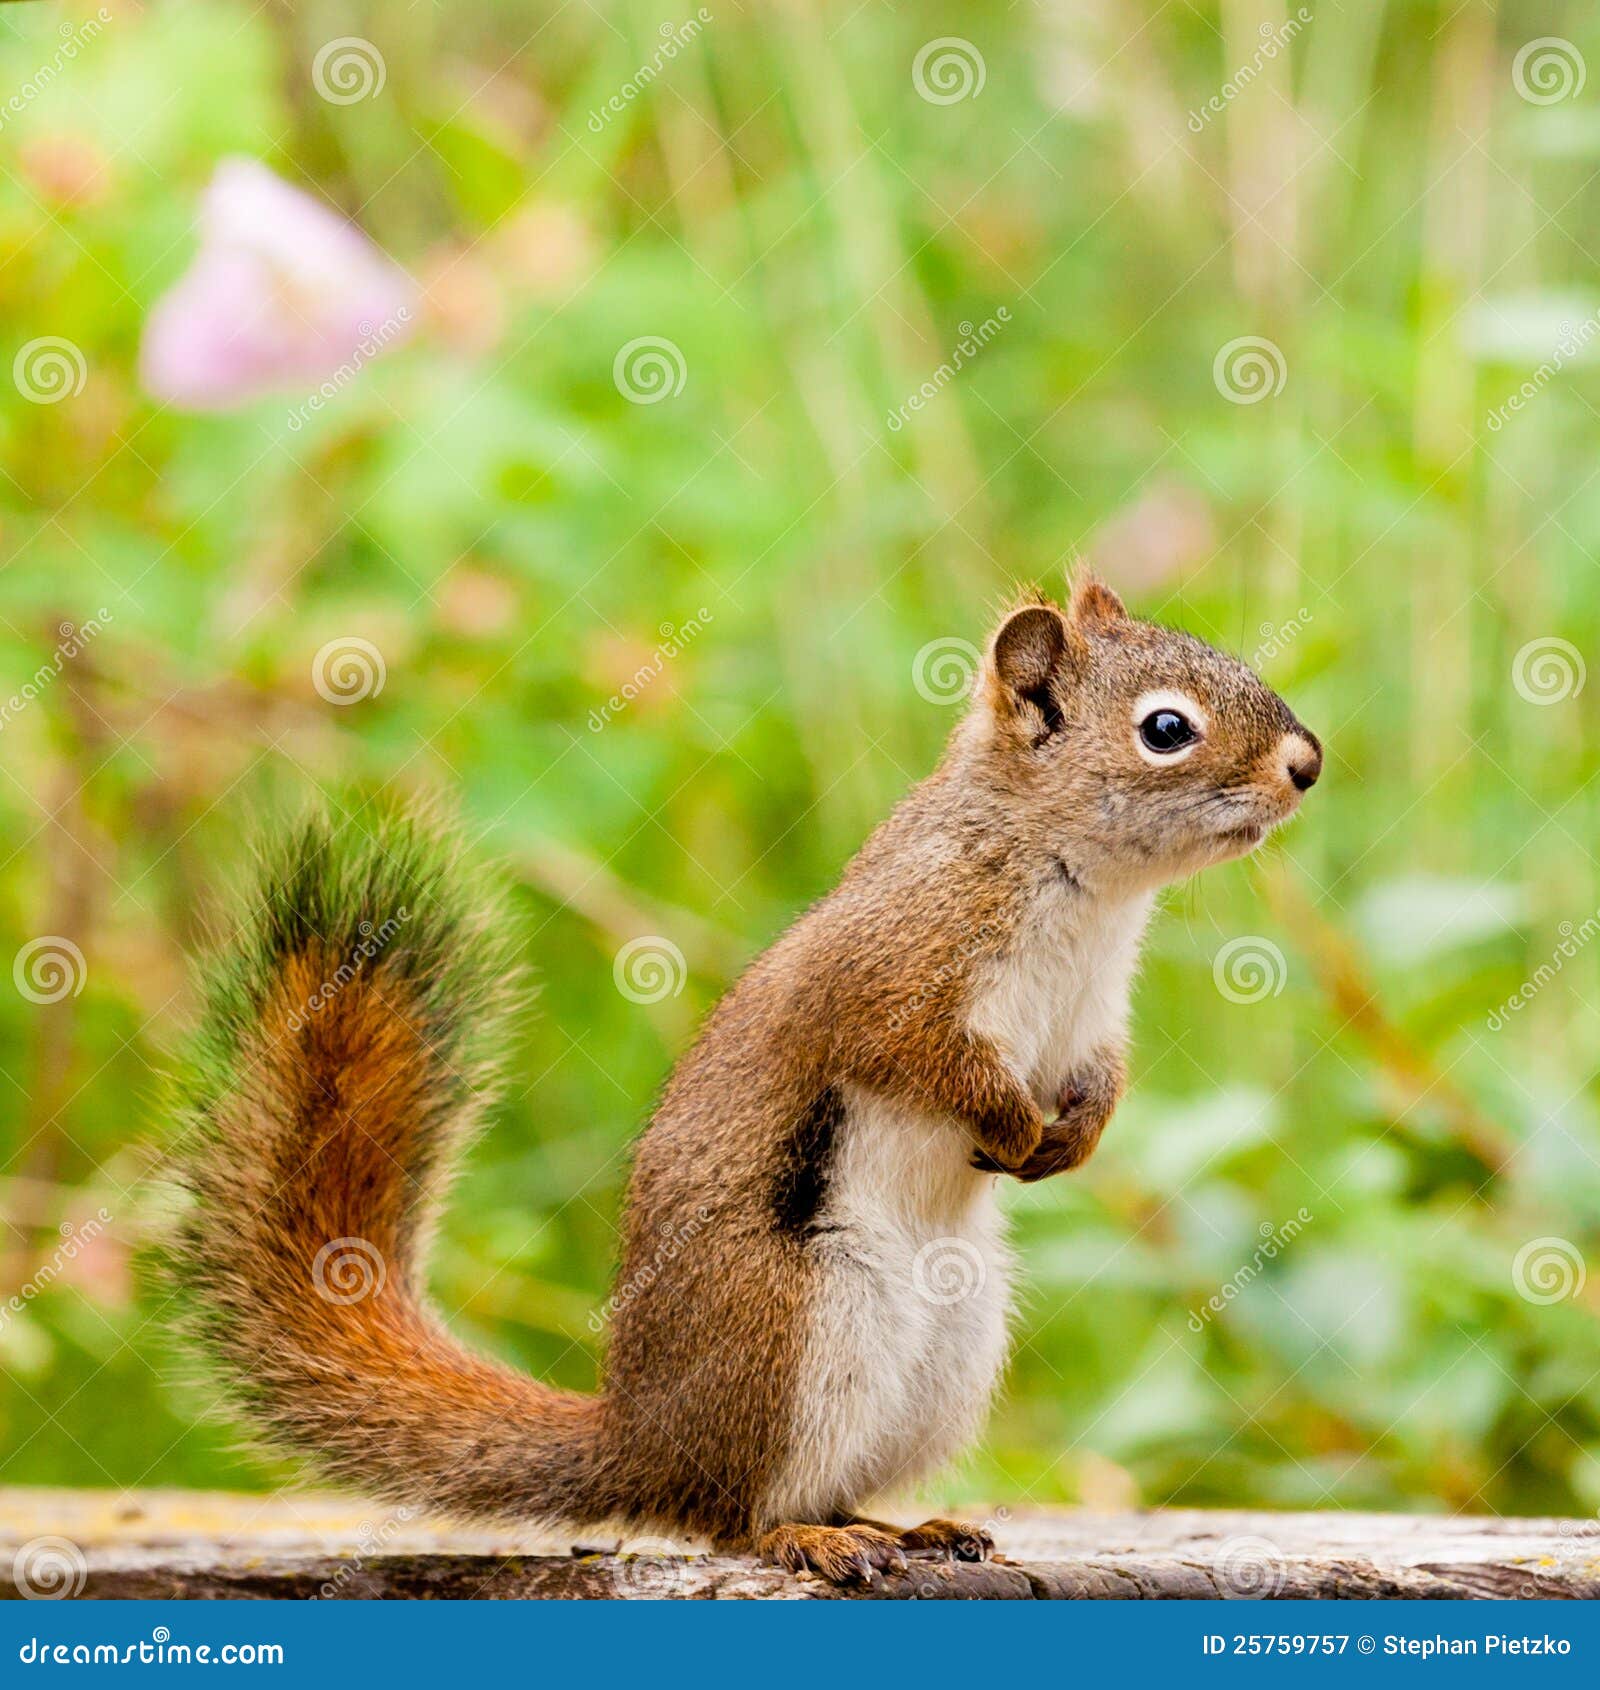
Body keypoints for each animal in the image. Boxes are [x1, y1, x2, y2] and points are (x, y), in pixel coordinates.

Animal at [170, 572, 1321, 1588]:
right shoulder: (892, 973)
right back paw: (806, 1539)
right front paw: (1005, 1119)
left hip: (950, 1346)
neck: (1086, 893)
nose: (1307, 763)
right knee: (738, 1513)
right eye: (1165, 728)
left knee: (828, 1488)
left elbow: (1100, 1080)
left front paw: (1071, 1138)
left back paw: (910, 1527)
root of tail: (640, 1443)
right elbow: (919, 1054)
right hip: (794, 1323)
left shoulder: (1090, 1020)